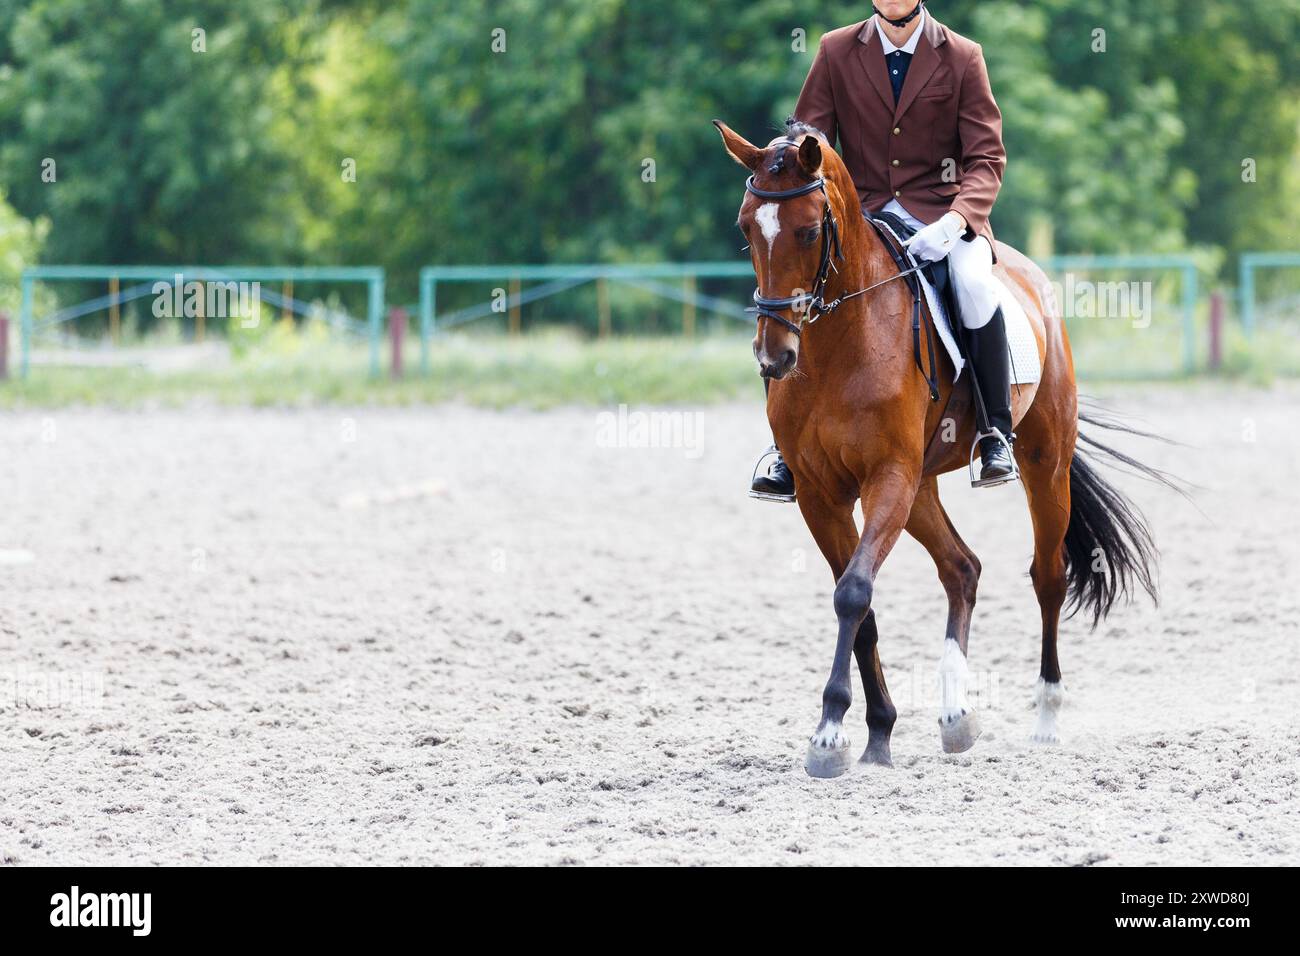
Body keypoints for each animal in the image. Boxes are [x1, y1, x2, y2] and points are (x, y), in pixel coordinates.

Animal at [714, 118, 1163, 777]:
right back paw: (956, 715)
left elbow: (854, 592)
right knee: (962, 568)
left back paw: (1046, 717)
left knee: (1047, 577)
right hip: (921, 488)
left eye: (807, 230)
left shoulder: (887, 477)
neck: (840, 342)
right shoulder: (822, 495)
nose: (775, 358)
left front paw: (829, 734)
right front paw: (874, 732)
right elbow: (861, 605)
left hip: (1040, 463)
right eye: (747, 228)